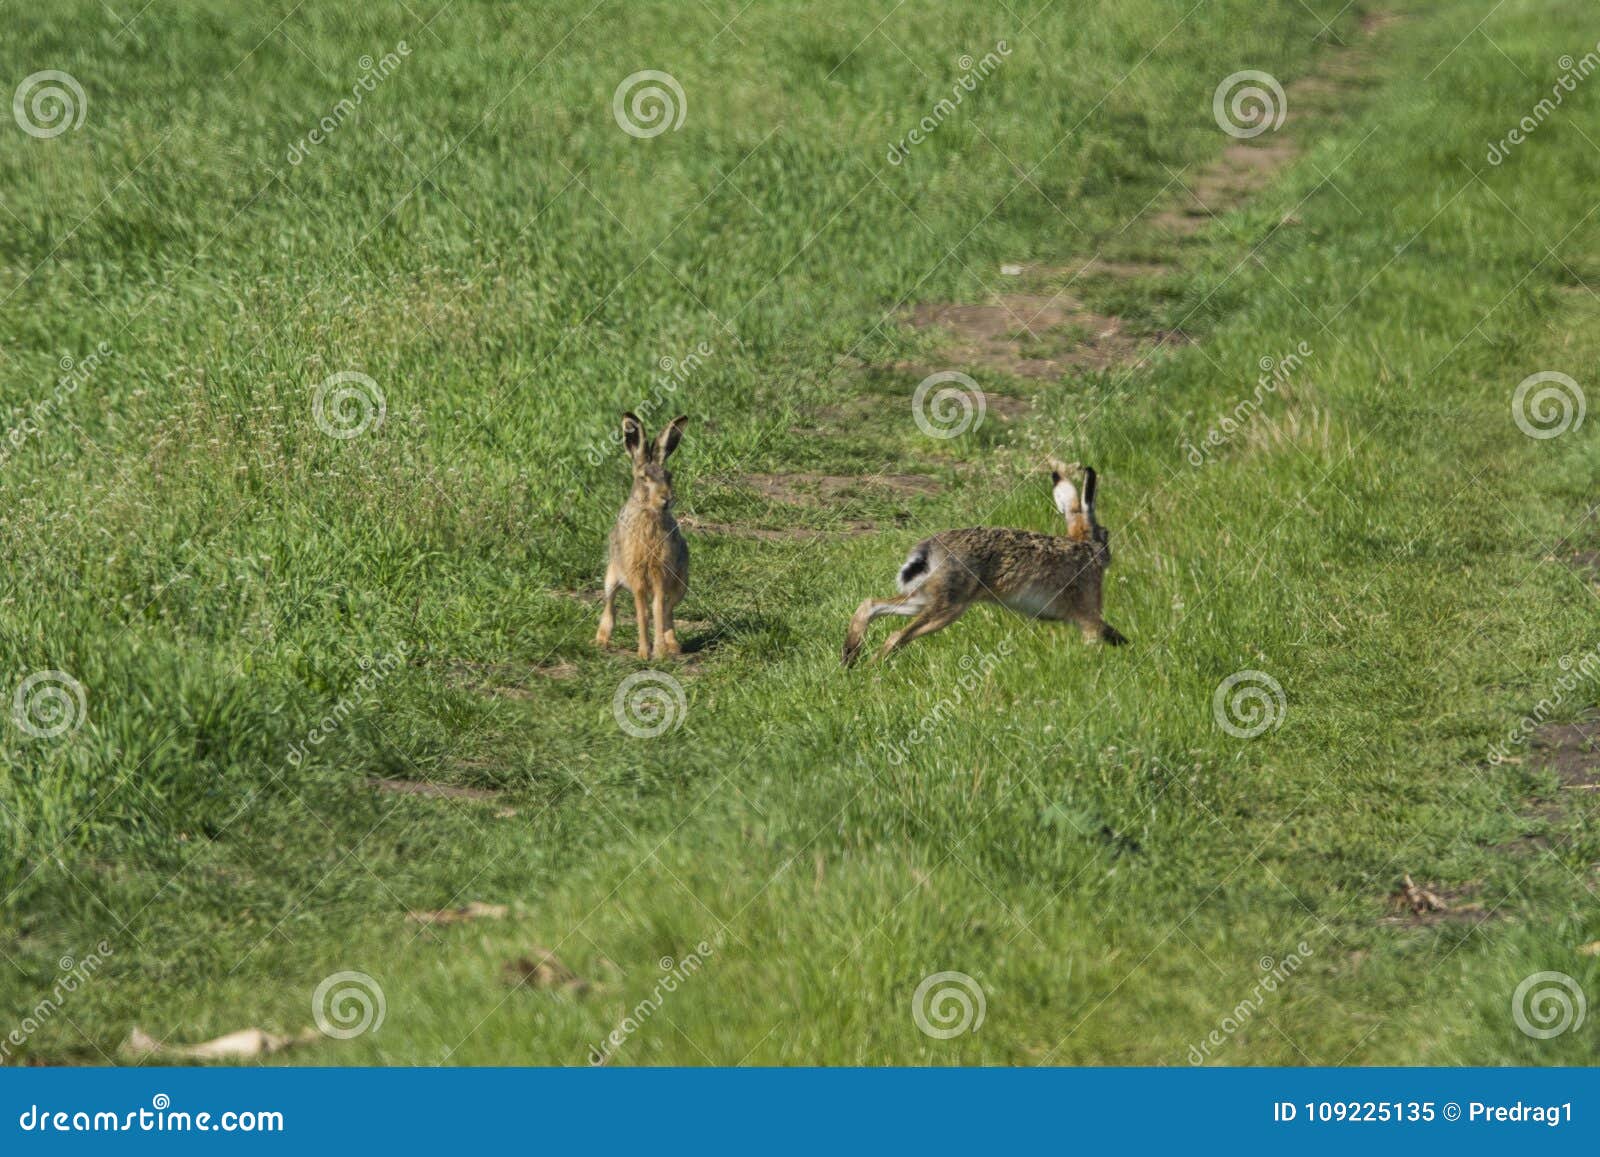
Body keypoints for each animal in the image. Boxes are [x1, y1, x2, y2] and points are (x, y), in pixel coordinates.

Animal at [595, 412, 690, 660]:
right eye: (643, 477)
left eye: (669, 476)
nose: (666, 499)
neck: (649, 514)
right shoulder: (636, 573)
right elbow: (642, 611)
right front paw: (644, 653)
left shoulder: (660, 573)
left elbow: (656, 609)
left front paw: (660, 652)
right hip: (611, 579)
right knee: (610, 604)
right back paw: (600, 640)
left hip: (681, 583)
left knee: (668, 610)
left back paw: (673, 645)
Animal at [842, 459, 1126, 666]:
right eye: (1106, 533)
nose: (1109, 555)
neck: (1086, 548)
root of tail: (929, 550)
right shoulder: (1087, 613)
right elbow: (1097, 634)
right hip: (949, 605)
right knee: (896, 636)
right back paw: (870, 668)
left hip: (928, 597)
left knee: (871, 605)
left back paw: (850, 657)